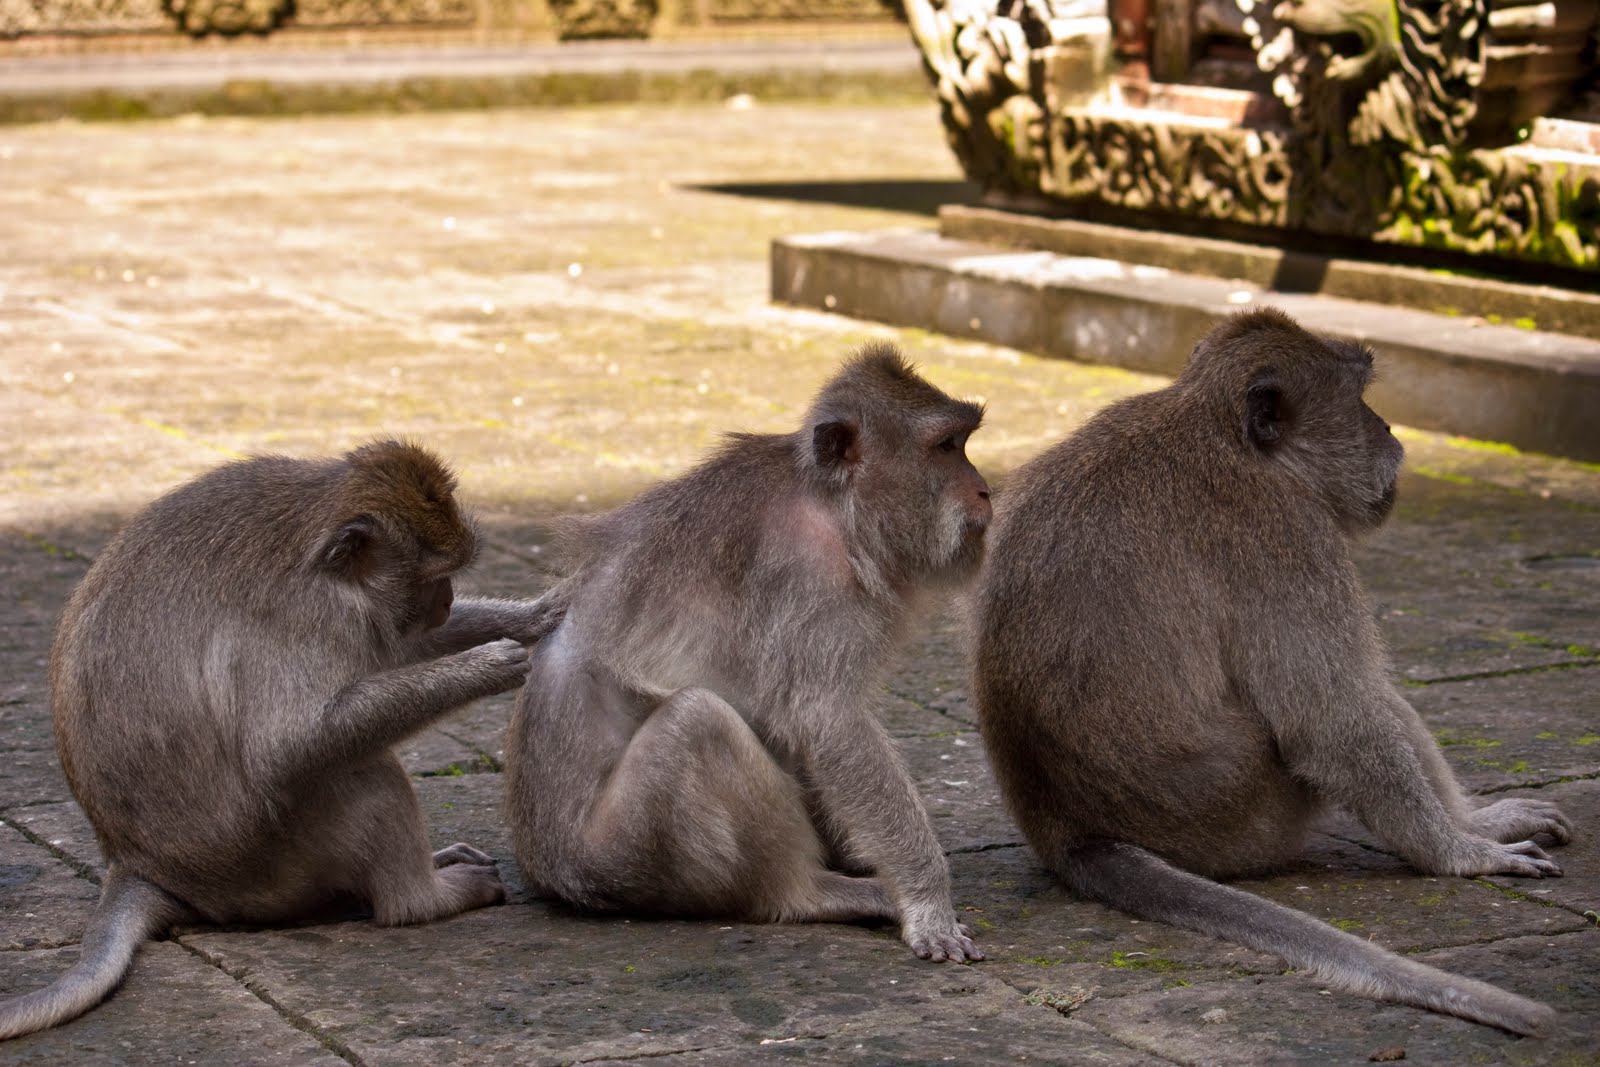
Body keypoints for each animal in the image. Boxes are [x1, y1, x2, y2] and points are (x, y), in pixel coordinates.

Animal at [0, 440, 566, 1040]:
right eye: (433, 575)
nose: (446, 602)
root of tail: (138, 866)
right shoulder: (312, 613)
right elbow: (287, 747)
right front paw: (486, 666)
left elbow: (399, 650)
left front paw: (538, 614)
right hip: (270, 866)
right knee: (360, 771)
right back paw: (423, 899)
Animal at [505, 345, 990, 962]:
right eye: (946, 447)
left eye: (964, 442)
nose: (986, 490)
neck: (832, 505)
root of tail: (548, 872)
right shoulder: (807, 576)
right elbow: (828, 720)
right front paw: (927, 903)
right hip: (622, 859)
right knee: (699, 722)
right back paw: (808, 893)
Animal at [971, 308, 1572, 1036]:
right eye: (1360, 397)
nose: (1390, 431)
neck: (1216, 427)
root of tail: (1070, 833)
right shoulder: (1287, 532)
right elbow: (1331, 720)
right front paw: (1458, 855)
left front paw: (1476, 833)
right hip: (1250, 816)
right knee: (1356, 702)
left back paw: (1479, 820)